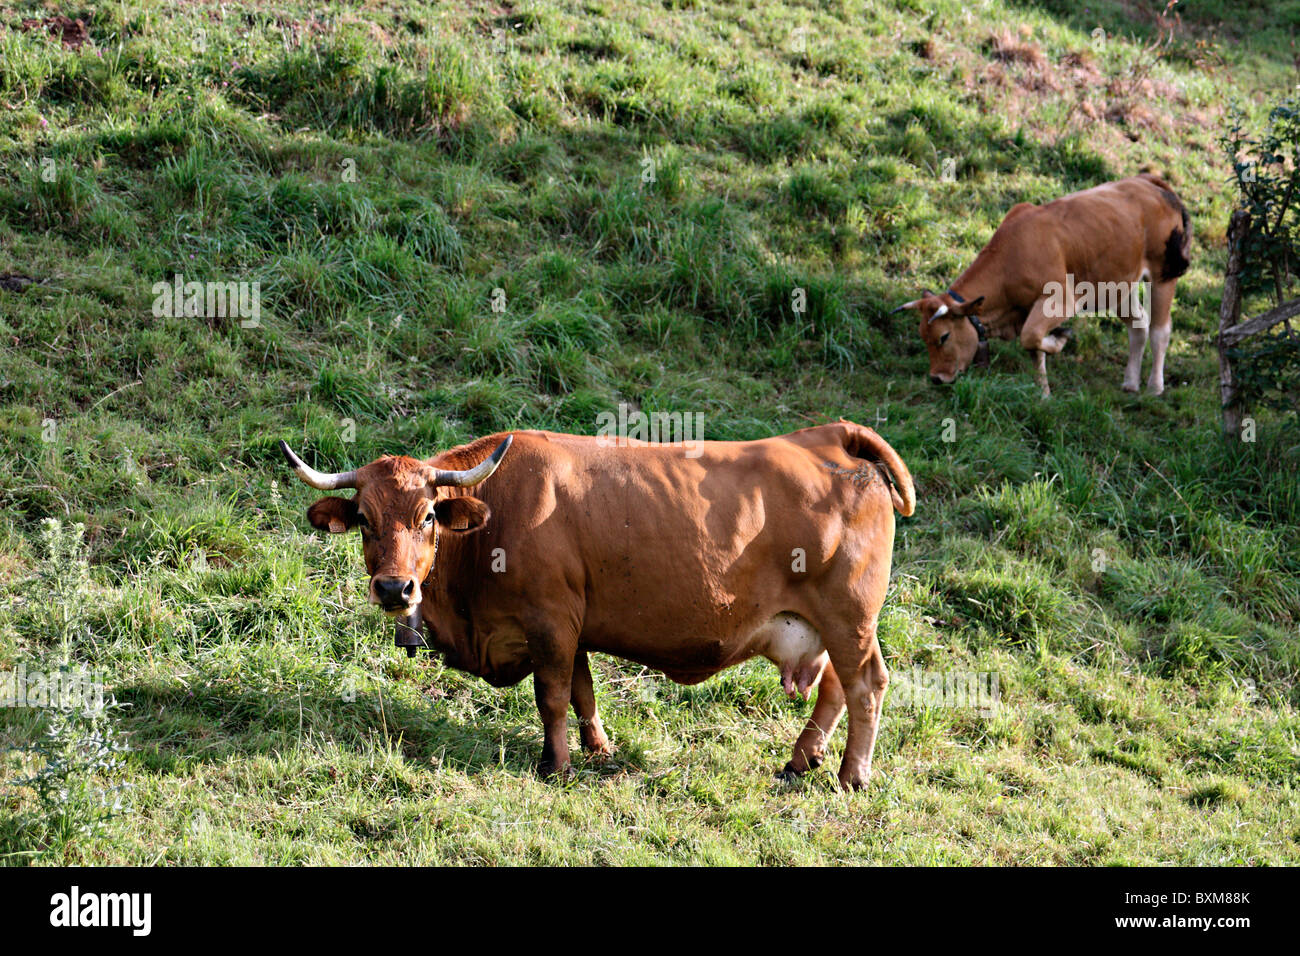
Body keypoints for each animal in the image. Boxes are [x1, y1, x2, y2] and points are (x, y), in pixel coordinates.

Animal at [279, 421, 915, 790]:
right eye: (365, 520)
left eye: (428, 515)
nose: (394, 589)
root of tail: (830, 435)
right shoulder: (573, 627)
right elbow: (583, 692)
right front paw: (598, 749)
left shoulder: (551, 622)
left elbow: (553, 696)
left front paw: (556, 764)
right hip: (828, 625)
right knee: (836, 686)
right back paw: (801, 759)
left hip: (850, 618)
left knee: (866, 685)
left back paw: (852, 775)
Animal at [895, 172, 1192, 397]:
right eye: (923, 336)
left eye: (944, 336)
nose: (936, 378)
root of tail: (1149, 181)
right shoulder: (1028, 310)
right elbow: (1034, 348)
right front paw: (1044, 394)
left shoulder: (1063, 301)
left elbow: (1031, 337)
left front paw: (1059, 340)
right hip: (1117, 286)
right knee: (1138, 325)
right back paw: (1130, 383)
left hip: (1164, 274)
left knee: (1160, 330)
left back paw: (1154, 387)